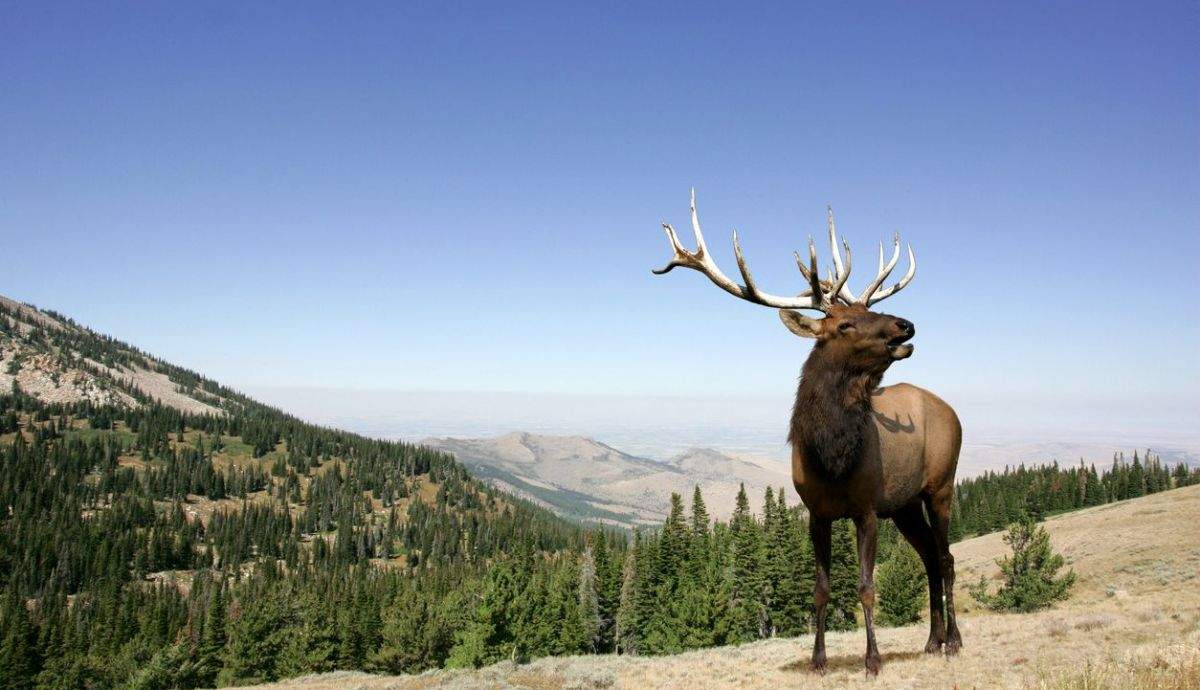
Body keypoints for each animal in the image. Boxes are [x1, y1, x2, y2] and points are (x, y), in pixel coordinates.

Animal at [653, 191, 962, 675]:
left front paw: (872, 660)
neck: (830, 458)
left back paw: (954, 641)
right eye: (845, 324)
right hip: (905, 504)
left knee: (947, 558)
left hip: (941, 484)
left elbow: (866, 588)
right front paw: (818, 660)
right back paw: (932, 640)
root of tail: (952, 411)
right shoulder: (818, 512)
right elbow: (820, 589)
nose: (905, 325)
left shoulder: (866, 508)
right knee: (931, 558)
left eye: (869, 309)